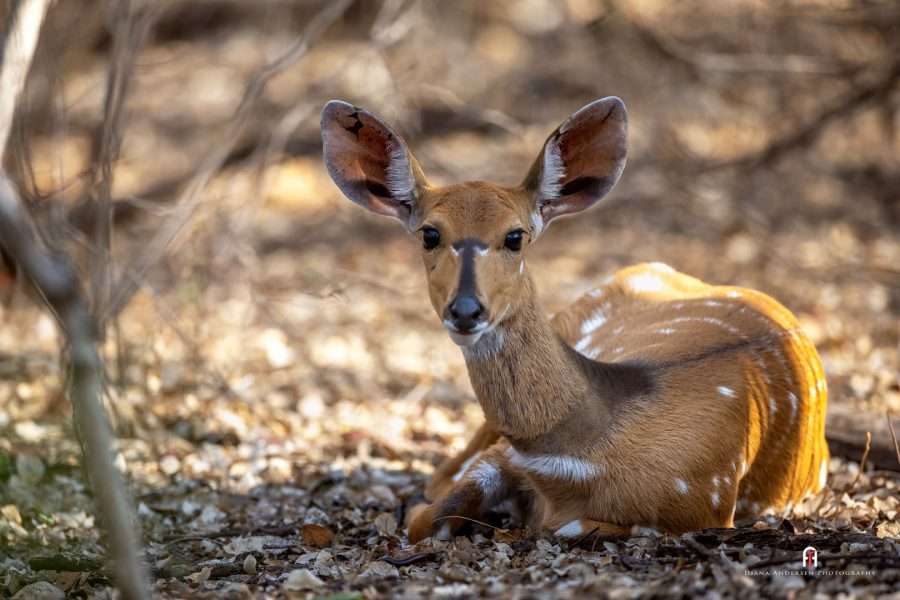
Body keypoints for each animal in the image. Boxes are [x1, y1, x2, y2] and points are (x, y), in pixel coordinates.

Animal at [320, 97, 829, 543]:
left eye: (515, 236)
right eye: (429, 233)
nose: (466, 310)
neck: (580, 452)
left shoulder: (704, 504)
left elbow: (562, 526)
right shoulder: (503, 452)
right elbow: (432, 515)